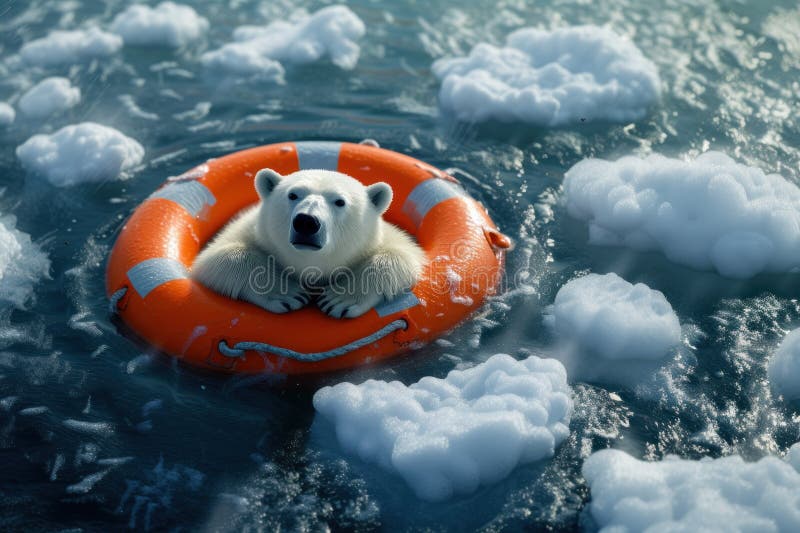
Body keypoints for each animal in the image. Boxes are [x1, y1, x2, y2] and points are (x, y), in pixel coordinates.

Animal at [191, 168, 426, 318]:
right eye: (293, 194)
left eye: (339, 201)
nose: (306, 222)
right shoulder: (246, 229)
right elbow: (217, 259)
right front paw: (287, 294)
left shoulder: (382, 238)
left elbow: (402, 257)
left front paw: (339, 300)